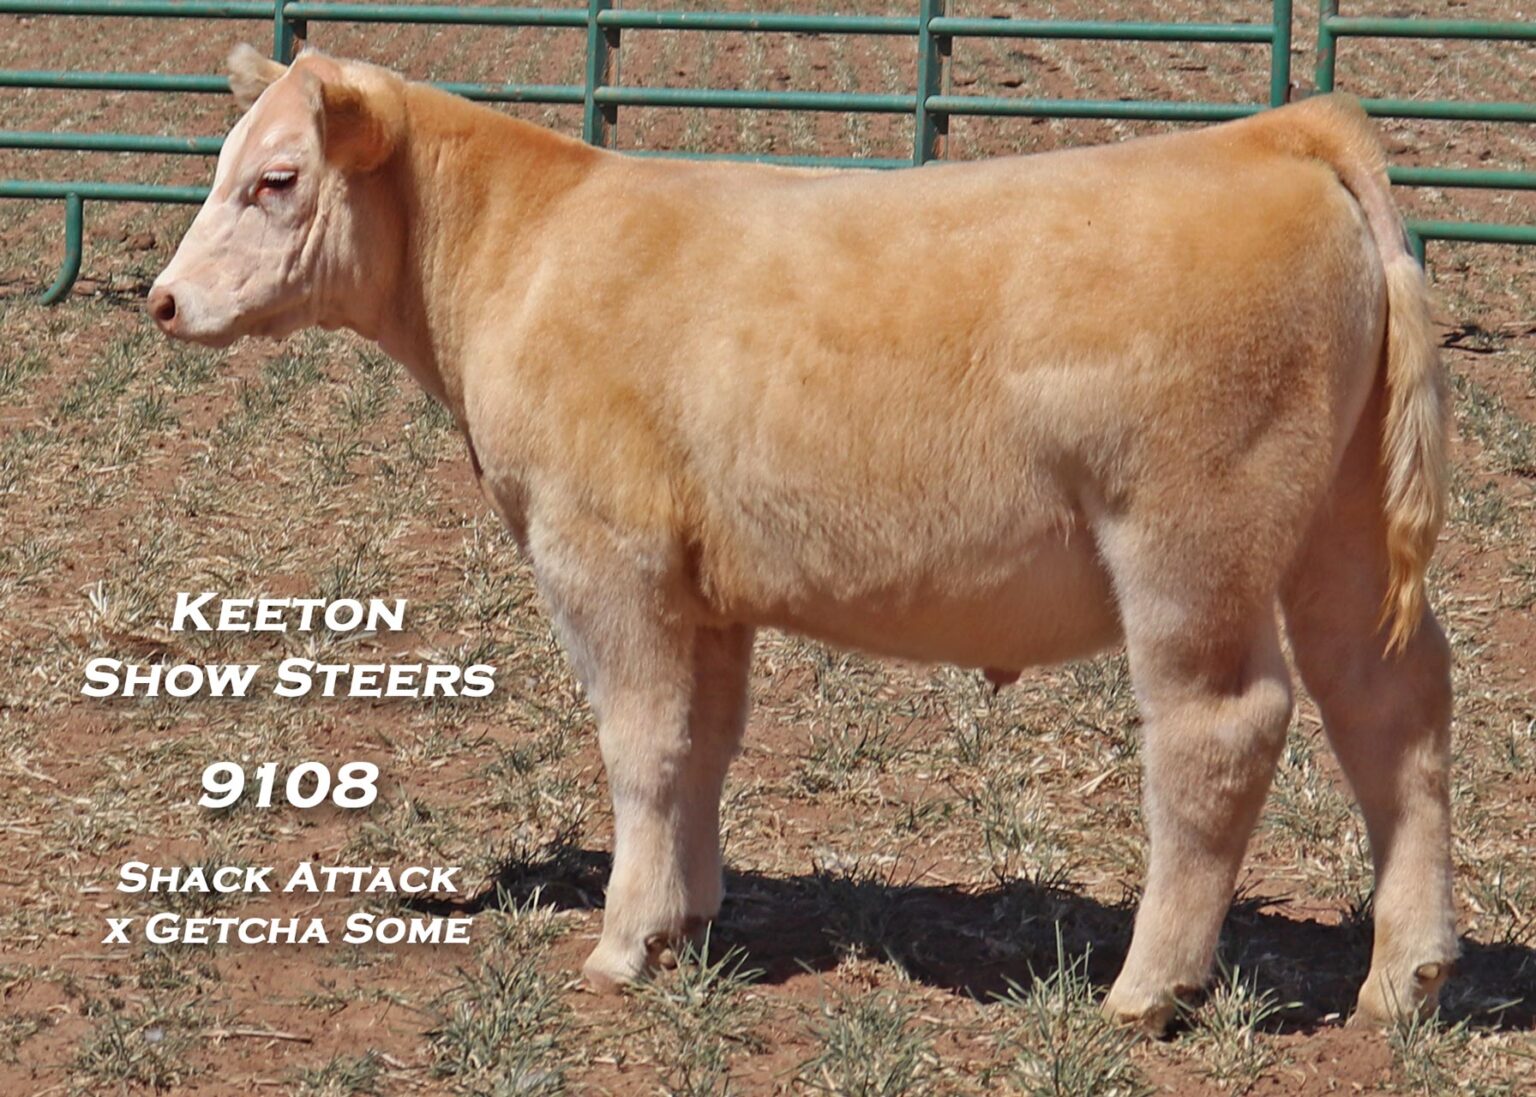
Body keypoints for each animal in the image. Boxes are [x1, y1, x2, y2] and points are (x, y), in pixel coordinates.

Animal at [149, 44, 1456, 1034]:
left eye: (276, 179)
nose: (162, 299)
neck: (530, 247)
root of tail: (1277, 133)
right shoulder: (706, 585)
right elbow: (704, 742)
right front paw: (687, 917)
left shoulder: (602, 554)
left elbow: (643, 743)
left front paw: (620, 942)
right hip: (1338, 533)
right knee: (1390, 703)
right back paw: (1406, 974)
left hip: (1190, 548)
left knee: (1222, 730)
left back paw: (1148, 987)